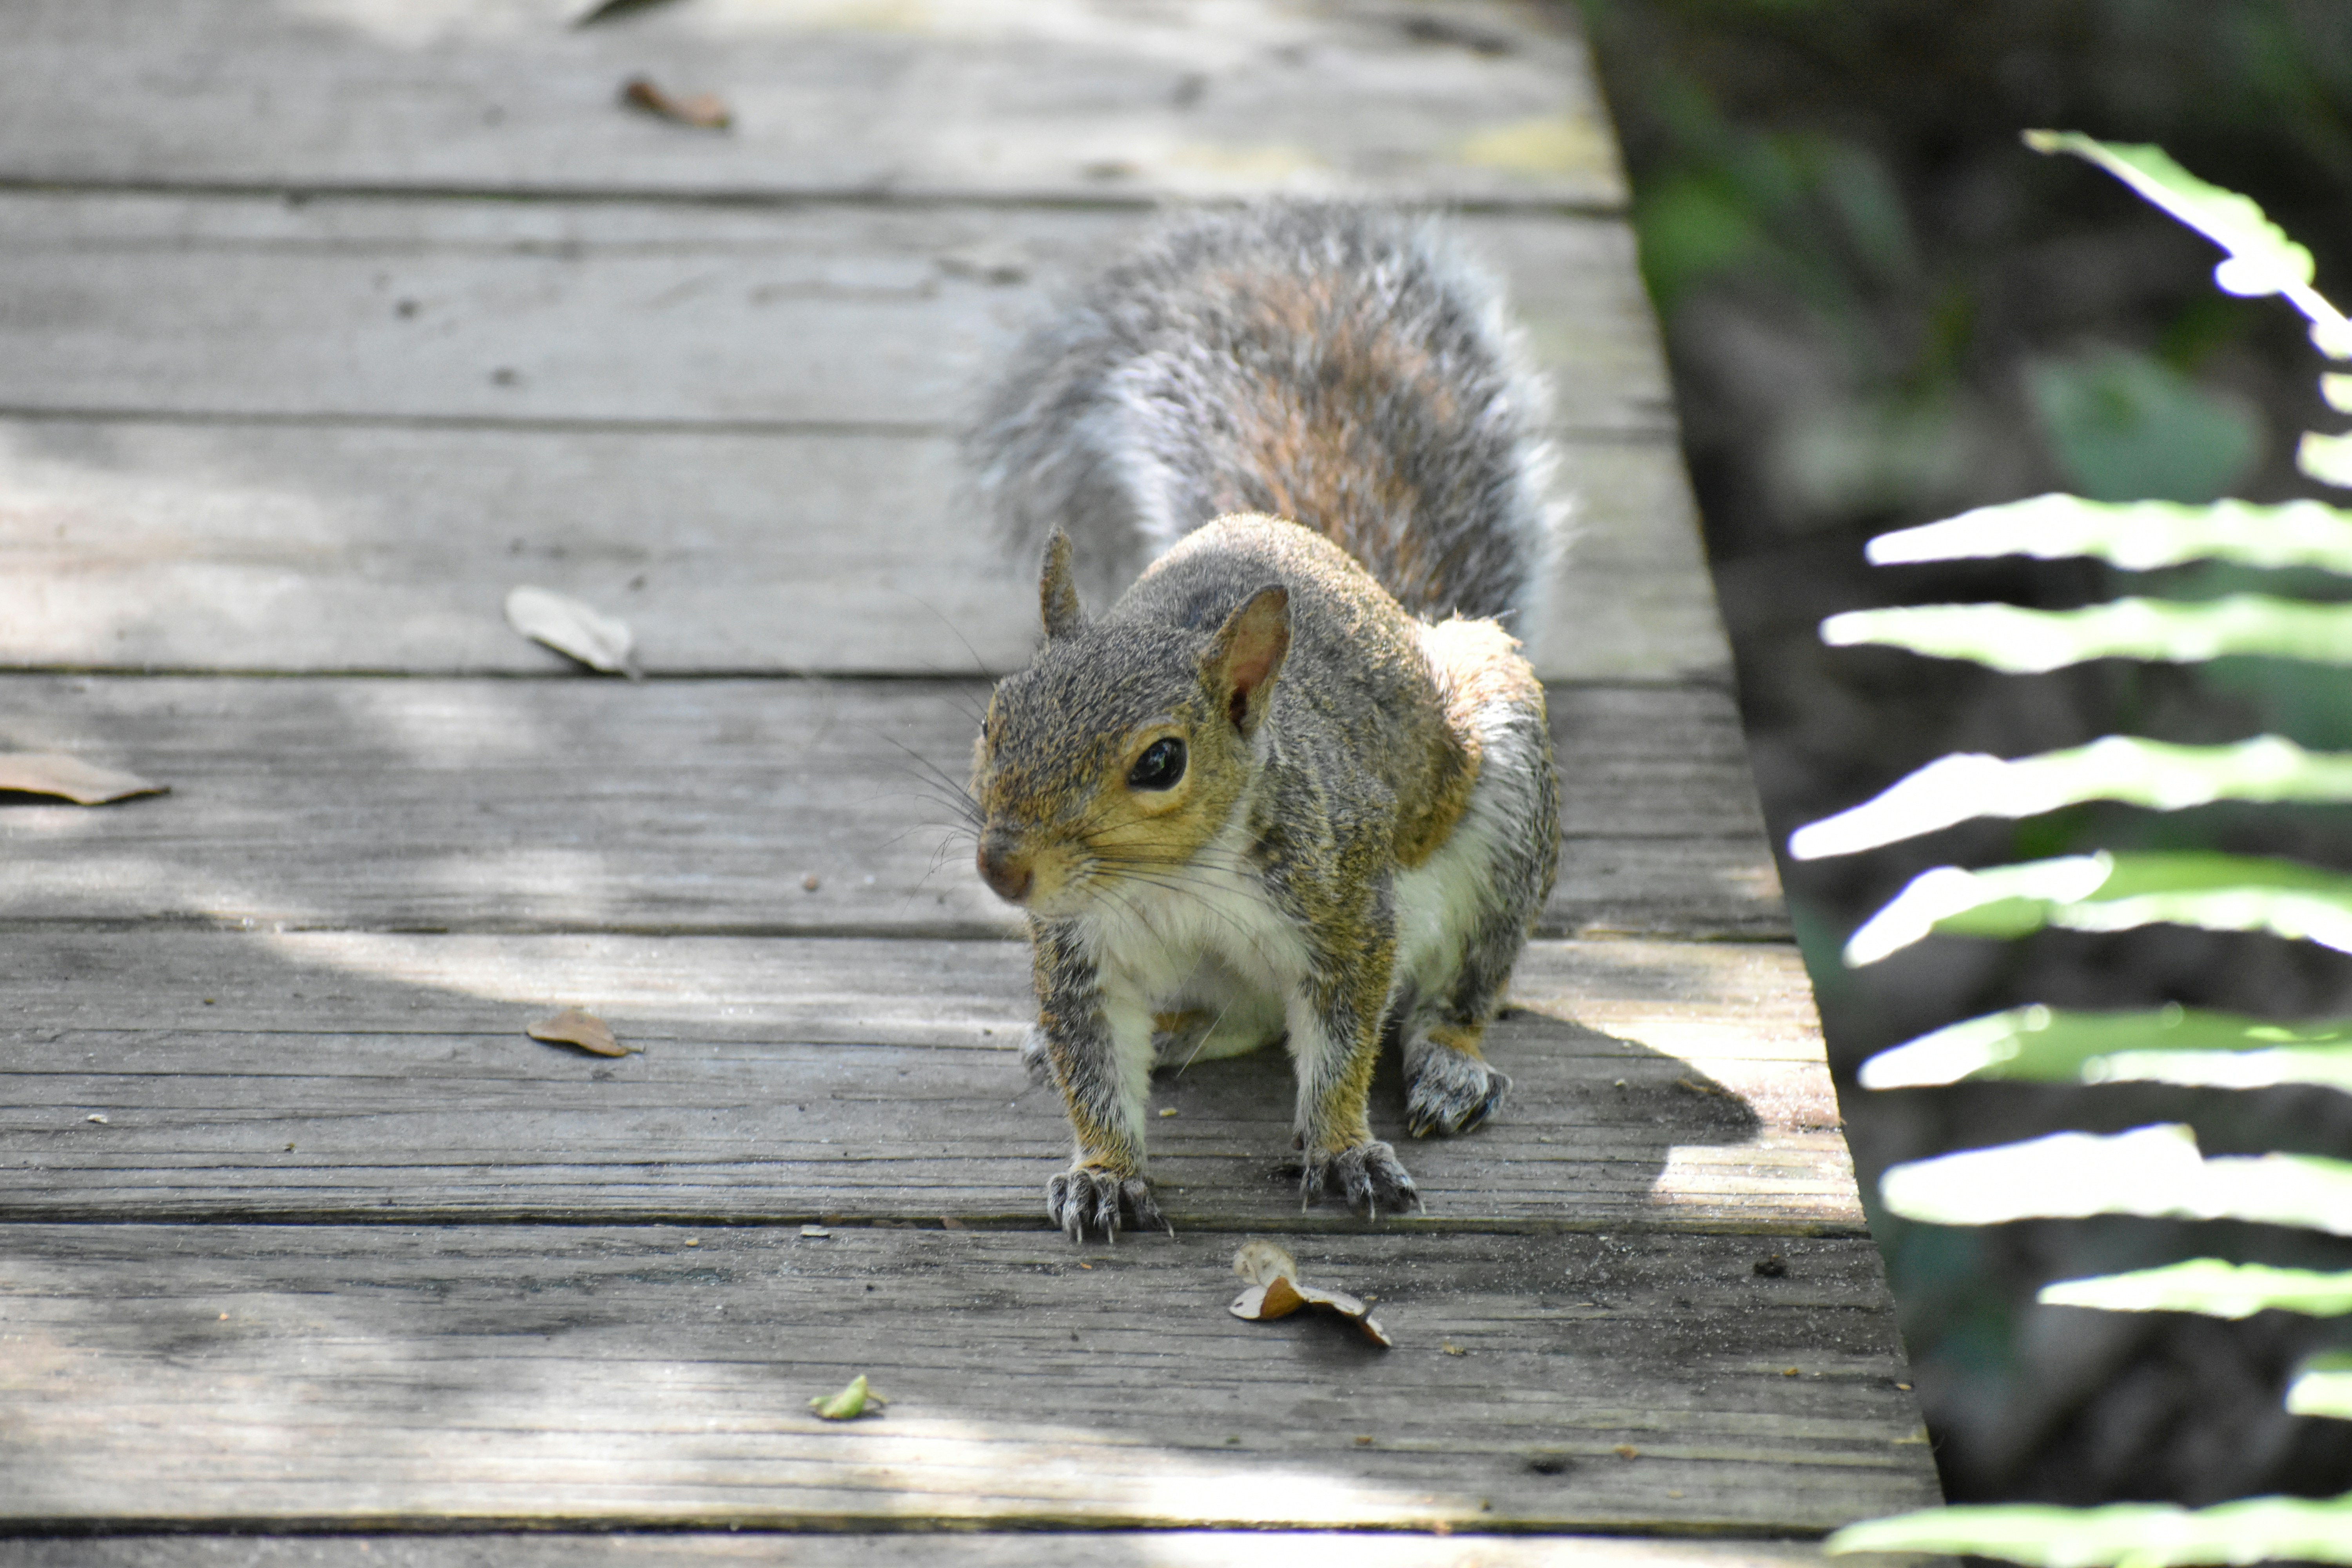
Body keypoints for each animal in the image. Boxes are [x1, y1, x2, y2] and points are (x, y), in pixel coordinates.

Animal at [963, 202, 1562, 1243]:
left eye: (1161, 761)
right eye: (994, 722)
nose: (1003, 869)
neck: (1171, 880)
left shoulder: (1345, 904)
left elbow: (1344, 1040)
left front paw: (1344, 1148)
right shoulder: (1081, 951)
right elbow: (1091, 1060)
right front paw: (1104, 1170)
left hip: (1503, 806)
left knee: (1460, 990)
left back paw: (1452, 1063)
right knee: (1237, 1020)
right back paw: (1167, 1035)